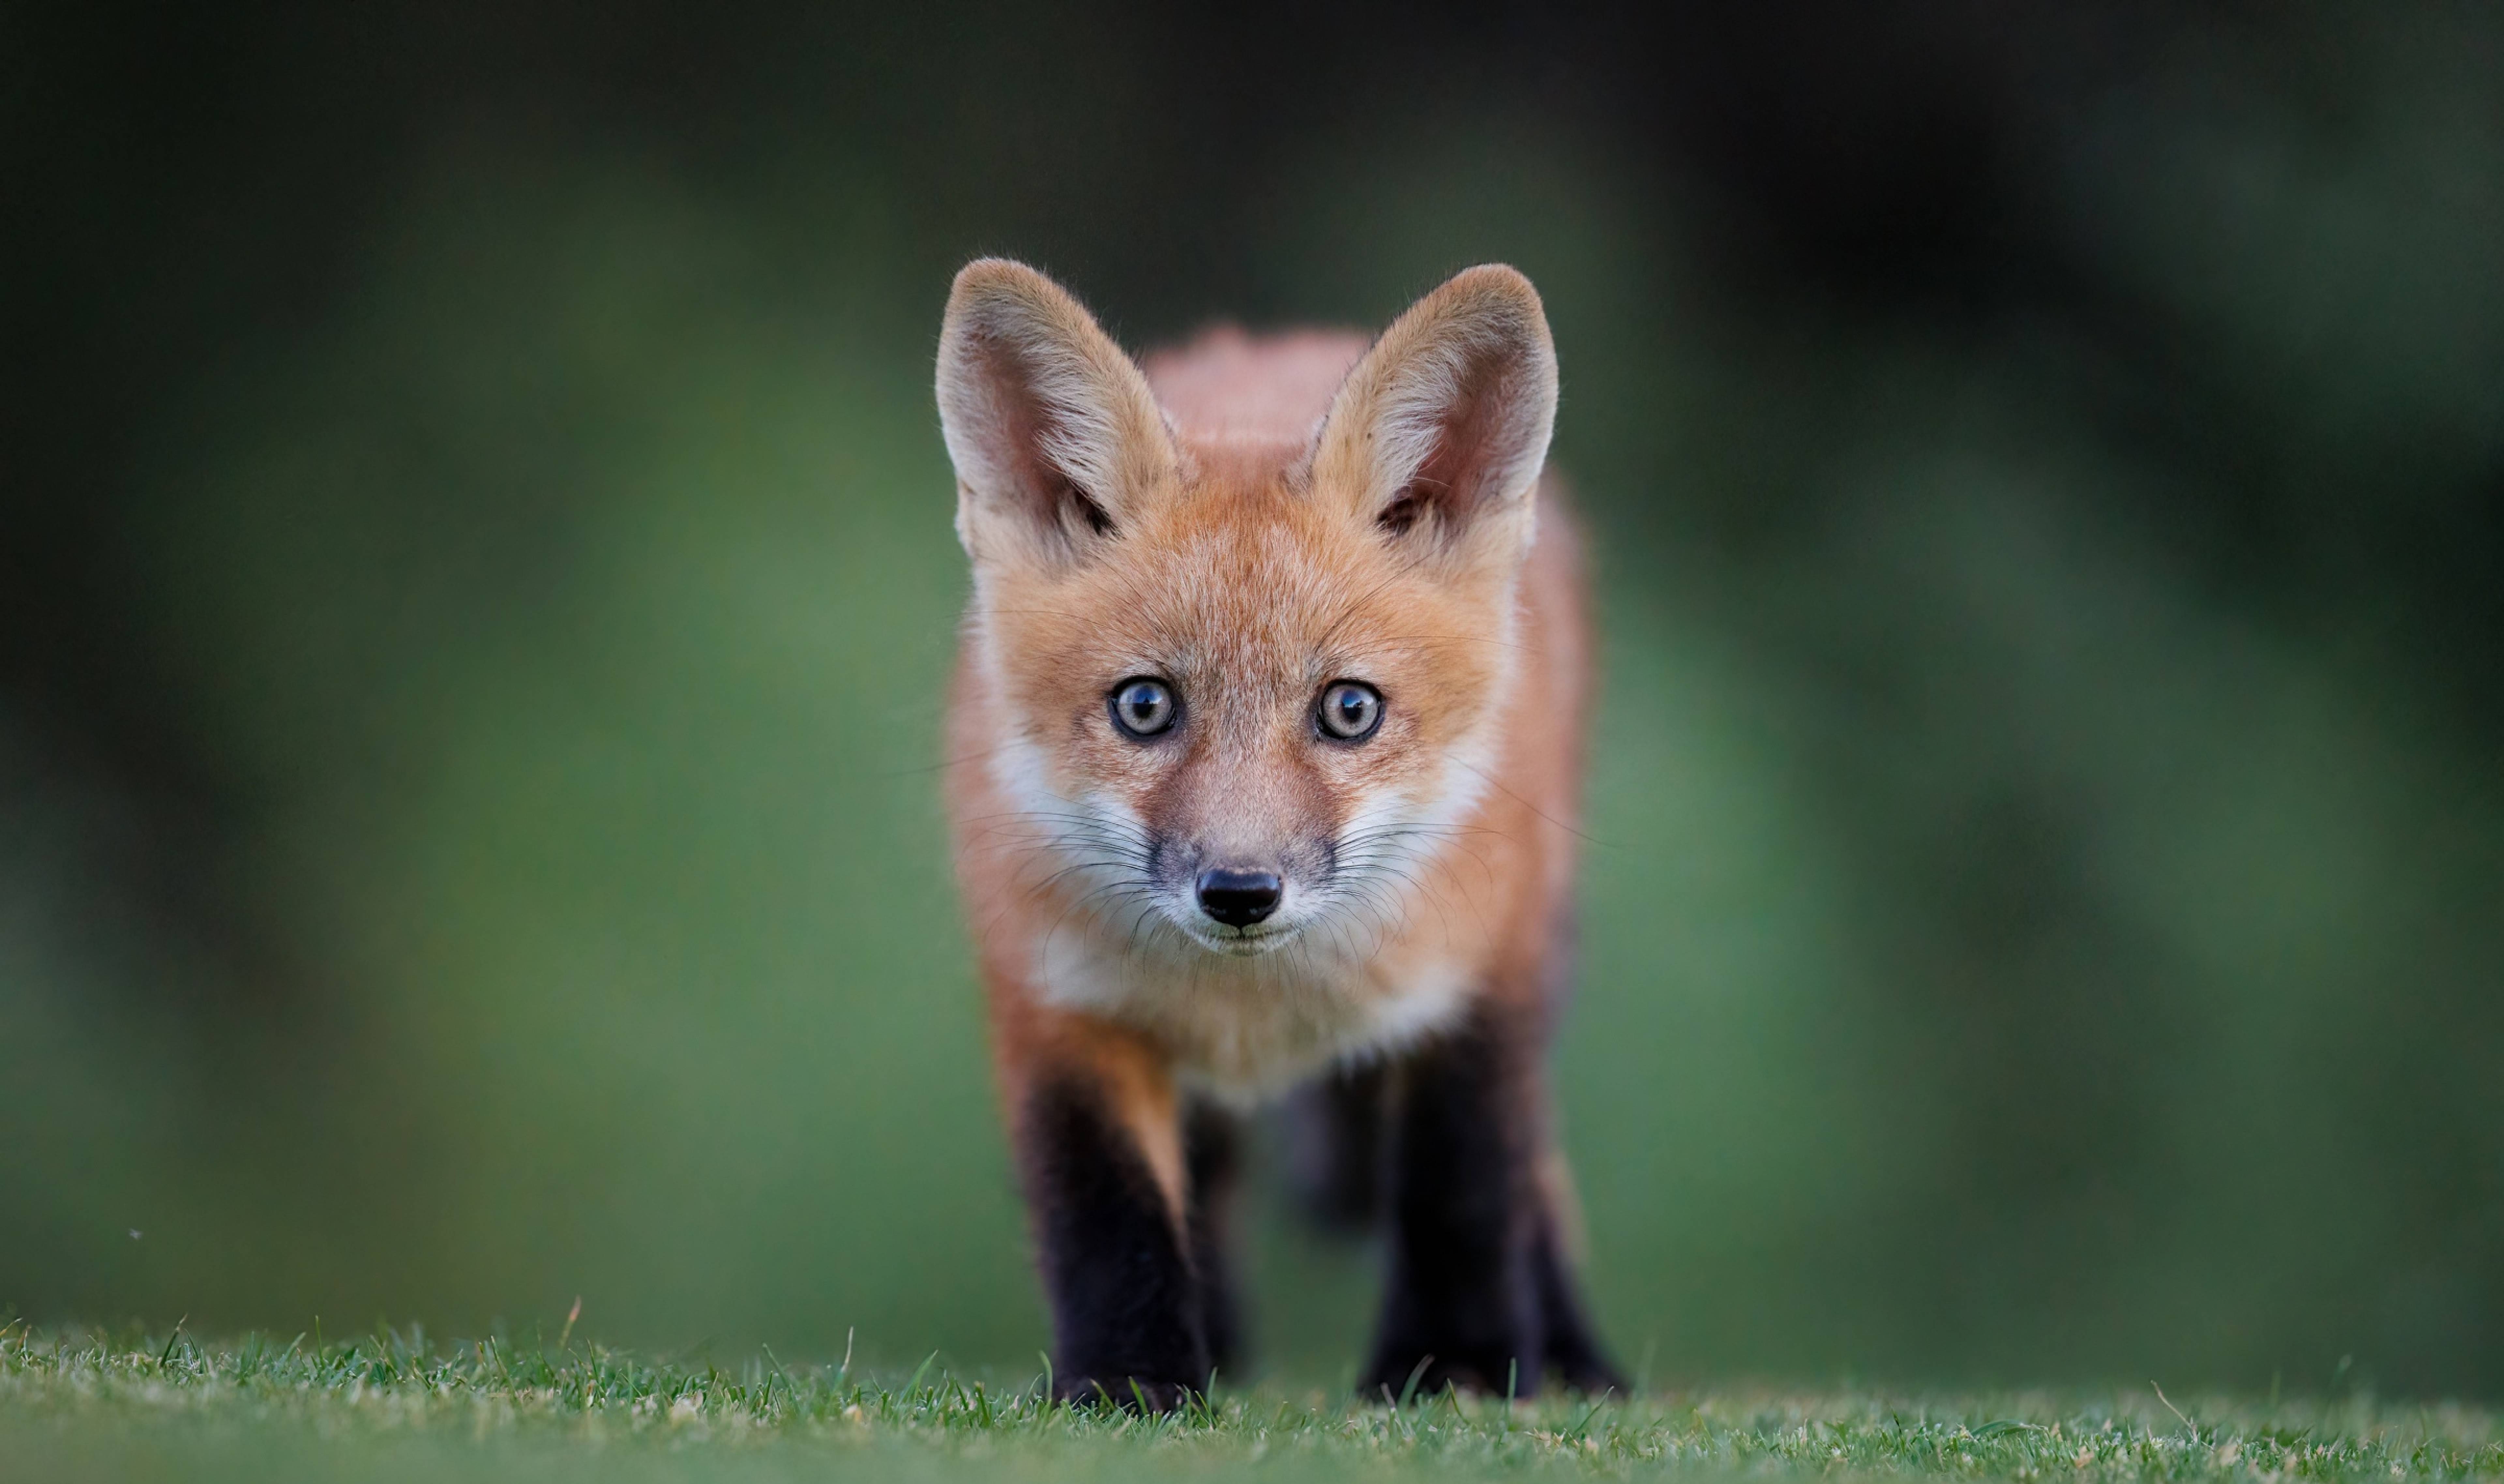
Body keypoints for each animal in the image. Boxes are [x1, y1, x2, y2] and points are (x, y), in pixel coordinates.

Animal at [934, 258, 1621, 1410]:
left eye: (1349, 710)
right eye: (1144, 708)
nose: (1241, 891)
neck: (1260, 1009)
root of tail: (1288, 340)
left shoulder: (1483, 983)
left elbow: (1465, 1187)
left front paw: (1459, 1366)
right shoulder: (1054, 1002)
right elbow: (1105, 1211)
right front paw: (1130, 1379)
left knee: (1541, 1173)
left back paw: (1573, 1351)